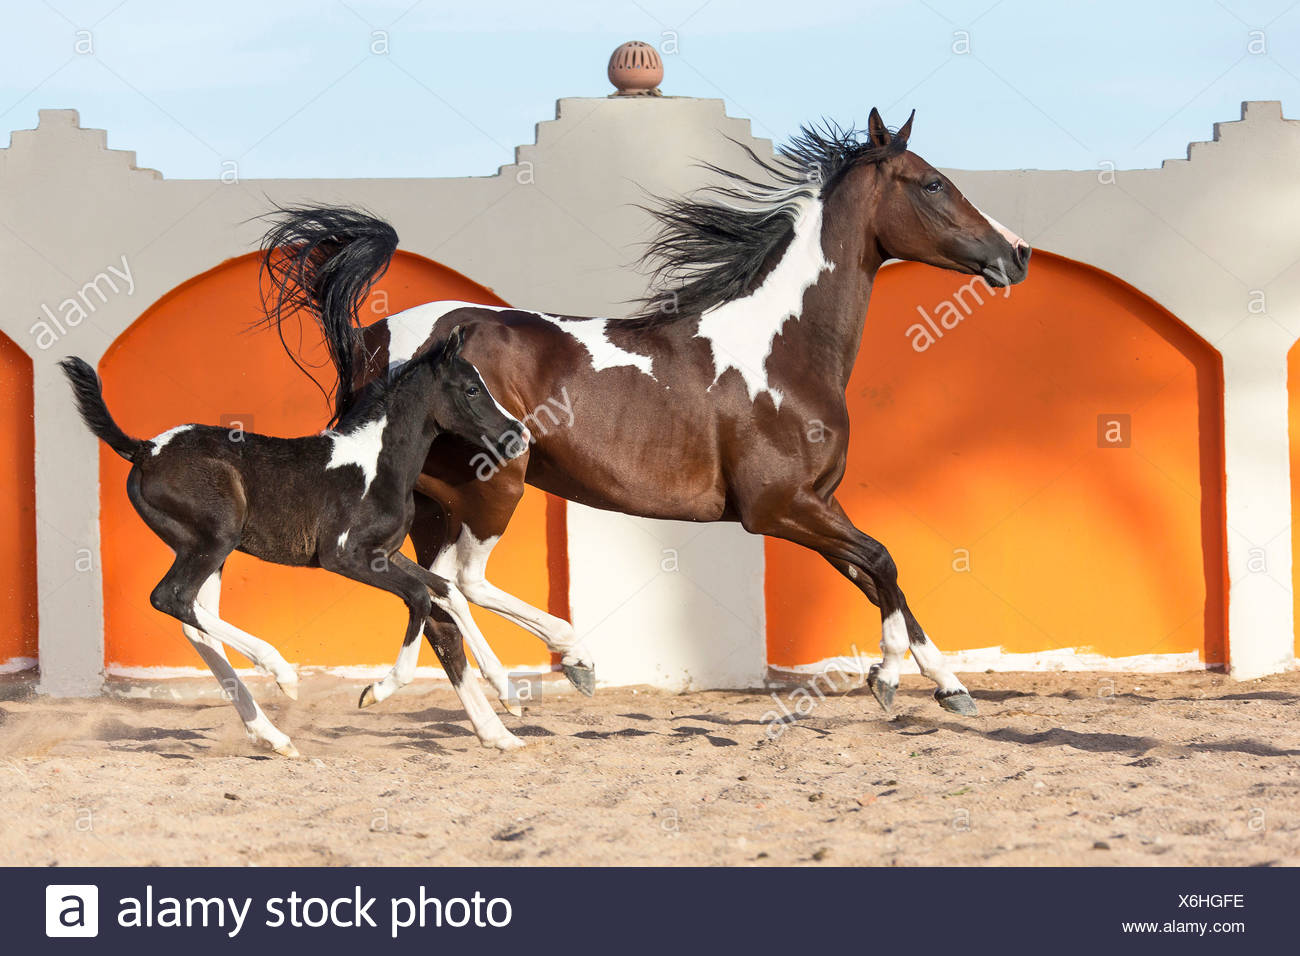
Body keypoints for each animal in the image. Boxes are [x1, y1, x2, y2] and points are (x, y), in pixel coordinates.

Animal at [60, 325, 533, 756]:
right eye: (472, 389)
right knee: (170, 597)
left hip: (208, 551)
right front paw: (376, 691)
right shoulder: (345, 556)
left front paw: (508, 697)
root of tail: (145, 449)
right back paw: (283, 675)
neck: (376, 463)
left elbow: (447, 591)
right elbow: (419, 596)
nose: (519, 436)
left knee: (195, 622)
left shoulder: (387, 553)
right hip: (215, 538)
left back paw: (274, 736)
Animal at [259, 108, 1032, 737]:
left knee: (435, 583)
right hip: (492, 482)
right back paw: (568, 662)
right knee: (461, 579)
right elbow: (884, 562)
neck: (781, 348)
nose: (1016, 253)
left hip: (434, 498)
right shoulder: (779, 507)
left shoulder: (818, 503)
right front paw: (890, 678)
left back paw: (467, 692)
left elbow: (880, 576)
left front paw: (949, 688)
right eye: (931, 184)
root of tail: (376, 336)